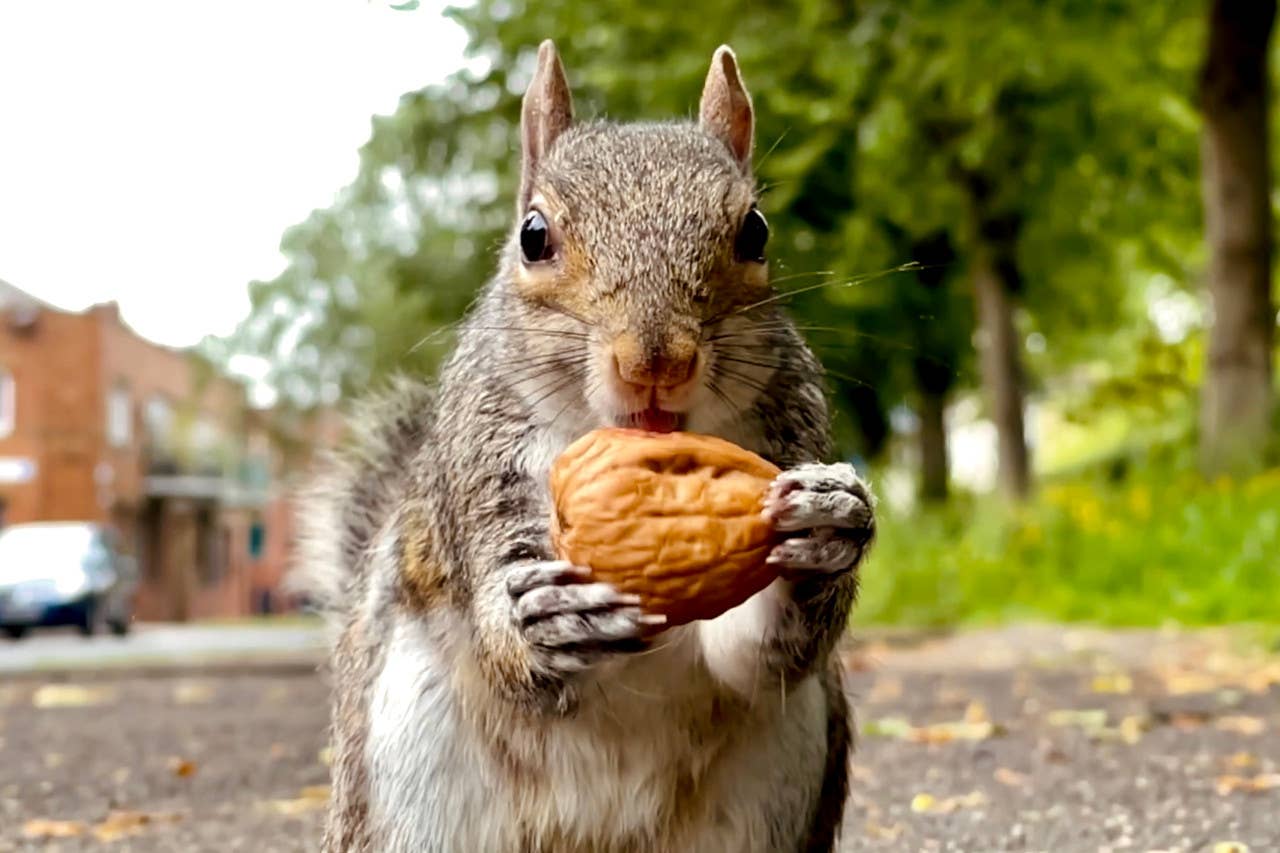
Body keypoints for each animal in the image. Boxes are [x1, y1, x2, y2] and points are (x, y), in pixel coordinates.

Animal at [295, 39, 876, 853]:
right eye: (533, 237)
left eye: (755, 231)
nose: (655, 362)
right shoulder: (480, 471)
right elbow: (508, 646)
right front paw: (539, 621)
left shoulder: (792, 426)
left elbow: (757, 654)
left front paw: (825, 523)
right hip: (409, 783)